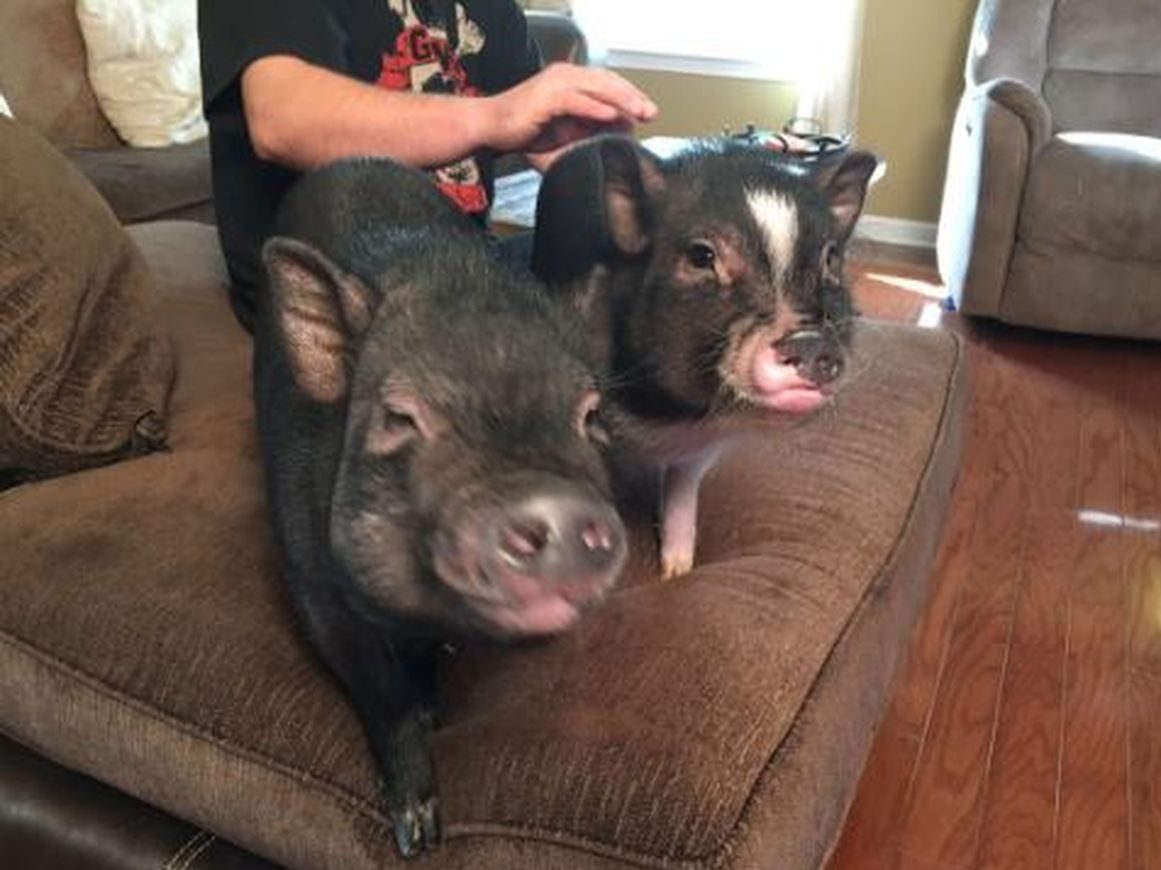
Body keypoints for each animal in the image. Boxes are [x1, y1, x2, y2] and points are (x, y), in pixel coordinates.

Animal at [252, 157, 627, 857]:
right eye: (400, 416)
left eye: (591, 415)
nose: (555, 505)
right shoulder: (310, 583)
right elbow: (382, 695)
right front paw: (418, 834)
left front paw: (432, 704)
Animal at [531, 135, 878, 579]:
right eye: (700, 256)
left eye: (831, 258)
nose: (810, 340)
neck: (670, 418)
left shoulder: (698, 449)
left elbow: (682, 493)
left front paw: (676, 571)